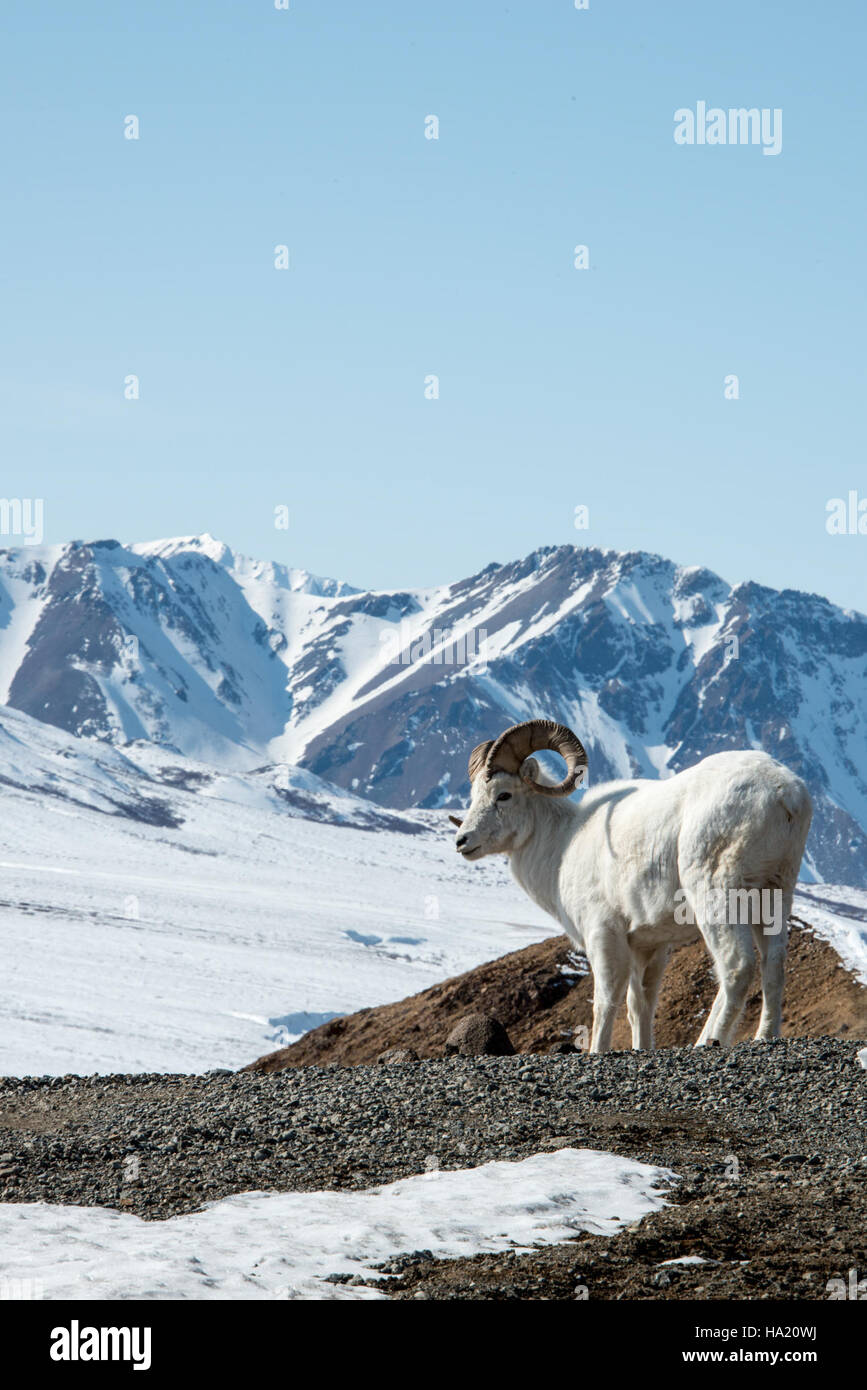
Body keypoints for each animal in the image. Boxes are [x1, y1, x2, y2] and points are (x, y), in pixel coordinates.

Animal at [451, 719, 812, 1053]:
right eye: (474, 796)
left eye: (504, 795)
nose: (462, 841)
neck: (563, 843)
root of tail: (784, 794)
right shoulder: (649, 946)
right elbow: (639, 1005)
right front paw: (642, 1048)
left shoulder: (604, 934)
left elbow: (605, 1001)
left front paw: (597, 1051)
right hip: (774, 894)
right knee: (773, 965)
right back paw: (765, 1037)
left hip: (718, 895)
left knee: (736, 967)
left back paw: (708, 1042)